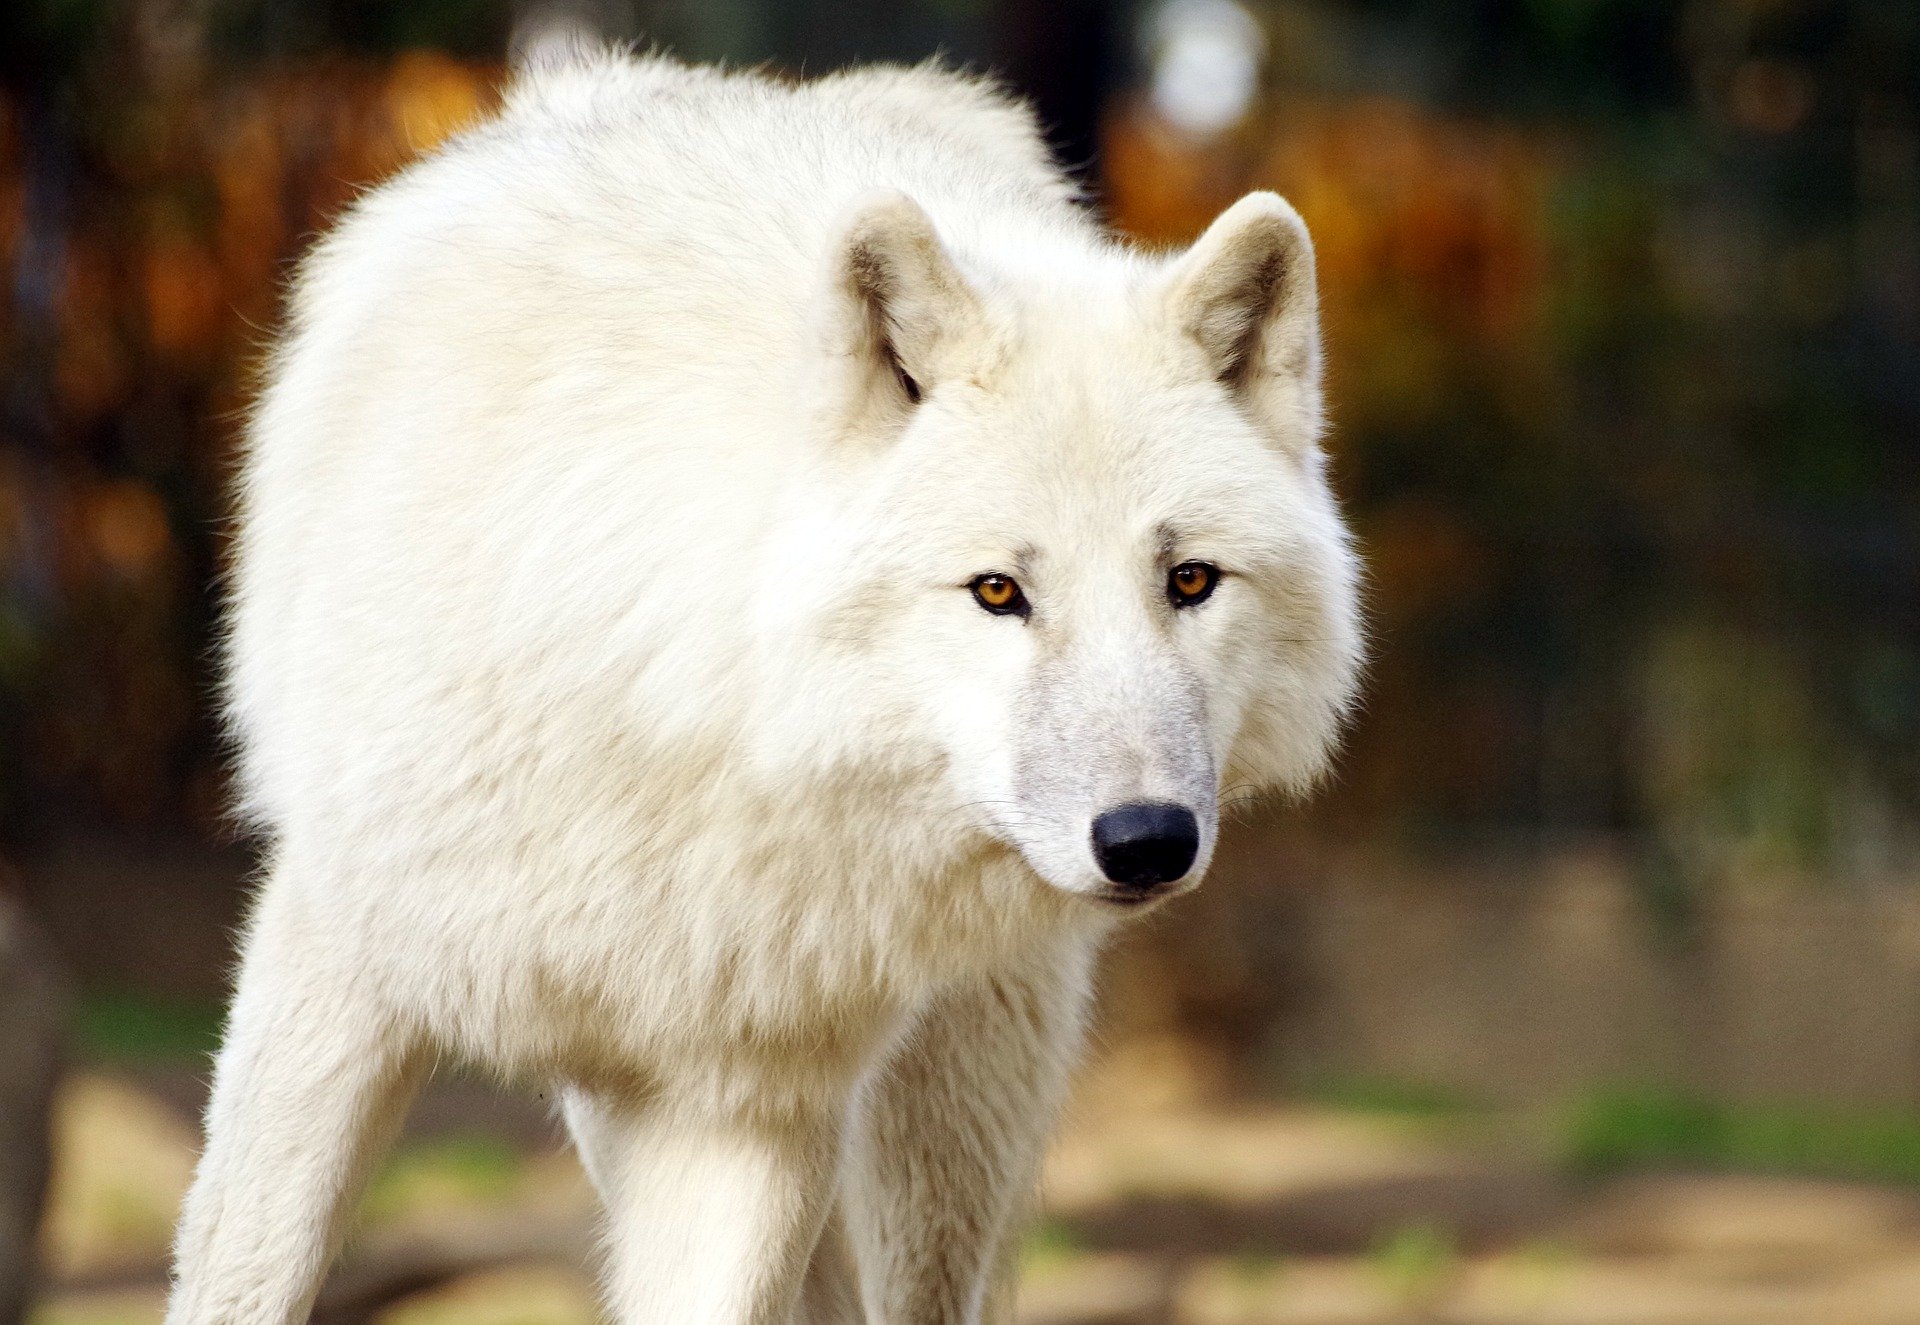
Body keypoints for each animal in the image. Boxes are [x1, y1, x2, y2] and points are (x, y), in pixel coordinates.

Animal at [168, 45, 1362, 1325]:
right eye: (997, 591)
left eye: (1190, 580)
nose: (1147, 839)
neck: (695, 713)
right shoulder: (334, 954)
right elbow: (245, 1273)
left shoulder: (744, 1107)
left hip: (946, 1097)